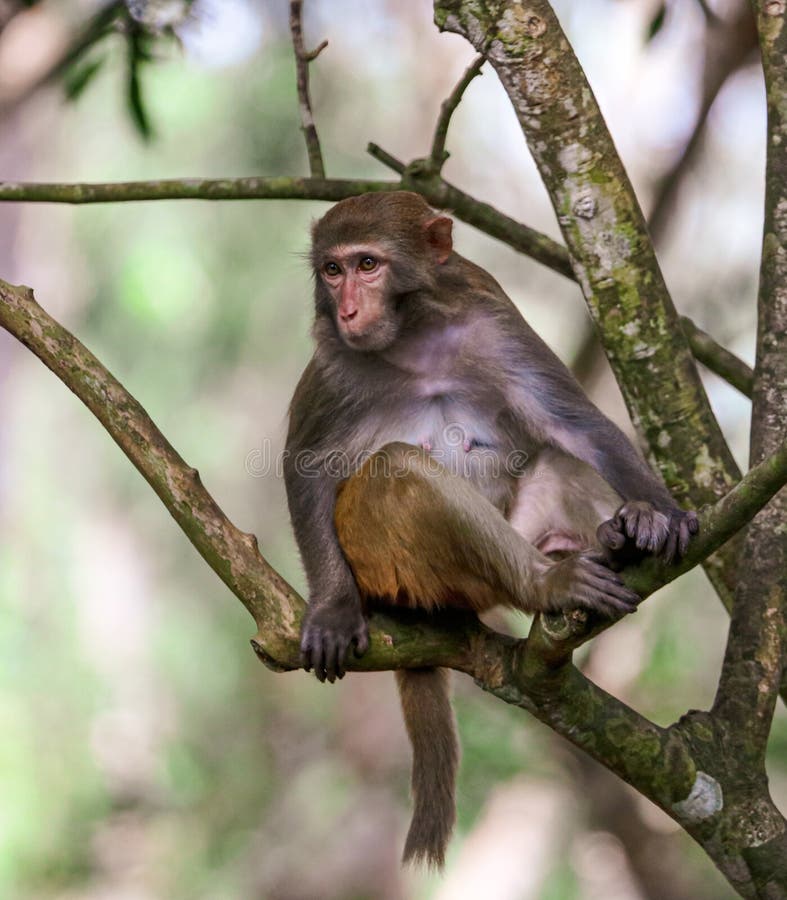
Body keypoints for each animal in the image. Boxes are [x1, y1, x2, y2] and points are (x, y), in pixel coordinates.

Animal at [283, 191, 698, 868]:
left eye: (367, 264)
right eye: (332, 270)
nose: (346, 308)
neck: (412, 337)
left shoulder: (492, 318)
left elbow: (574, 424)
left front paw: (658, 510)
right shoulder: (332, 362)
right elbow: (307, 468)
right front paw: (331, 609)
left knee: (554, 460)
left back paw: (612, 541)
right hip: (407, 572)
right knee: (398, 470)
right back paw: (548, 585)